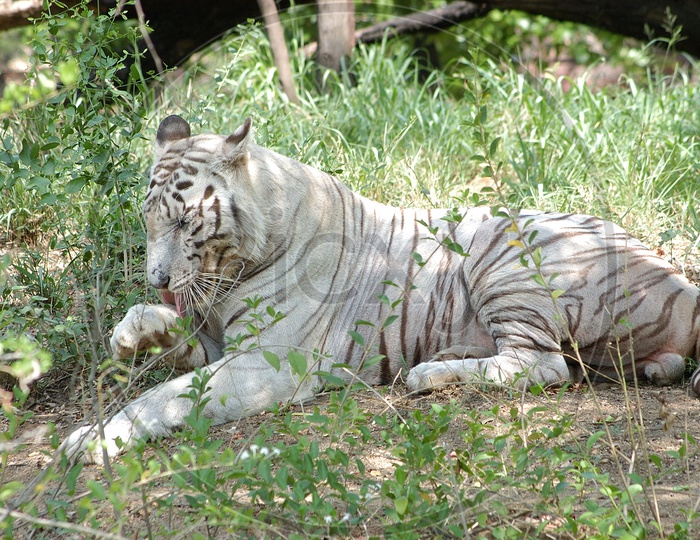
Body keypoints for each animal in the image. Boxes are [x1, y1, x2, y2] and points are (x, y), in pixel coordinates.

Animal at [62, 115, 700, 462]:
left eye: (184, 222)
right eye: (148, 221)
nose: (158, 278)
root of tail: (678, 279)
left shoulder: (268, 361)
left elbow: (162, 397)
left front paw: (90, 440)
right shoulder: (220, 339)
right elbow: (161, 333)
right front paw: (131, 333)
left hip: (504, 251)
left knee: (544, 366)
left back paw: (430, 374)